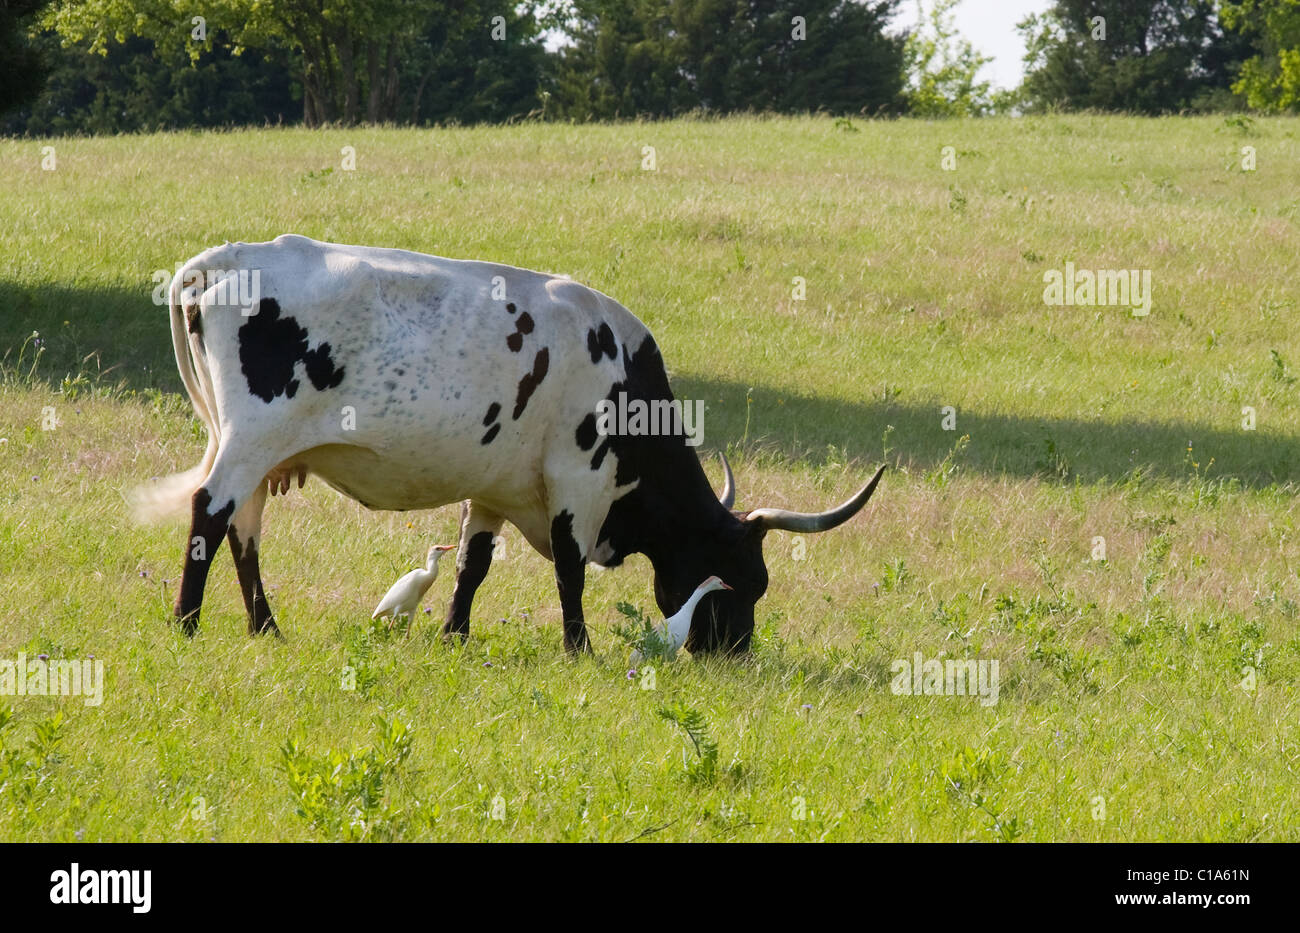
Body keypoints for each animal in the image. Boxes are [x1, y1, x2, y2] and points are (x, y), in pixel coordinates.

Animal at [134, 235, 885, 655]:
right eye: (747, 583)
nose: (735, 653)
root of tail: (226, 258)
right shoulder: (578, 482)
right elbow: (570, 572)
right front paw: (579, 648)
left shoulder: (493, 488)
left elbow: (473, 564)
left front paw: (454, 635)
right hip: (250, 442)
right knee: (209, 513)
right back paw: (186, 623)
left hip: (260, 454)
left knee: (245, 531)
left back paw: (265, 627)